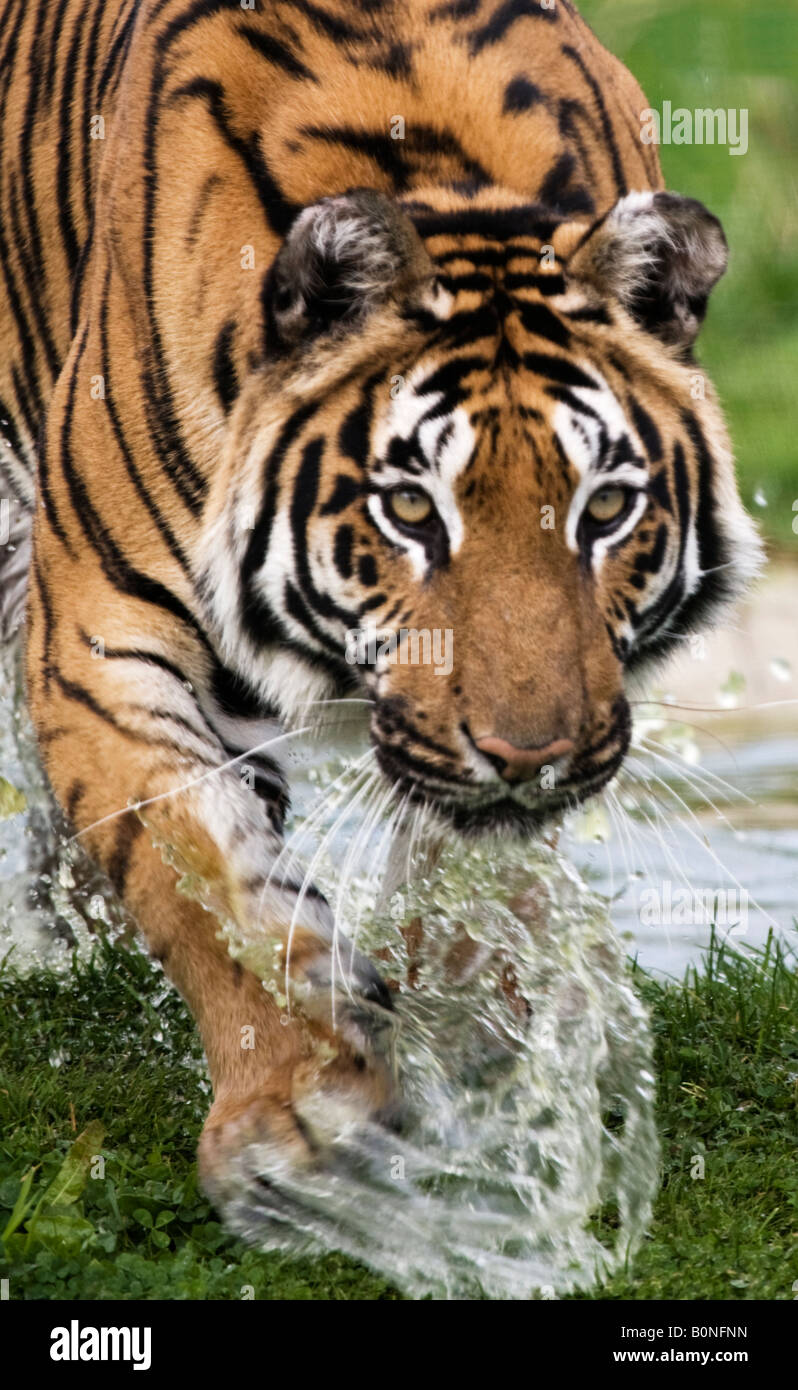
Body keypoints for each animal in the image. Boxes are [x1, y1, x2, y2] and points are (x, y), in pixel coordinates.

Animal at [0, 0, 761, 1223]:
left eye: (605, 507)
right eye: (410, 507)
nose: (531, 755)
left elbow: (466, 871)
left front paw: (480, 1037)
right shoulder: (104, 638)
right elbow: (206, 883)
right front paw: (298, 1114)